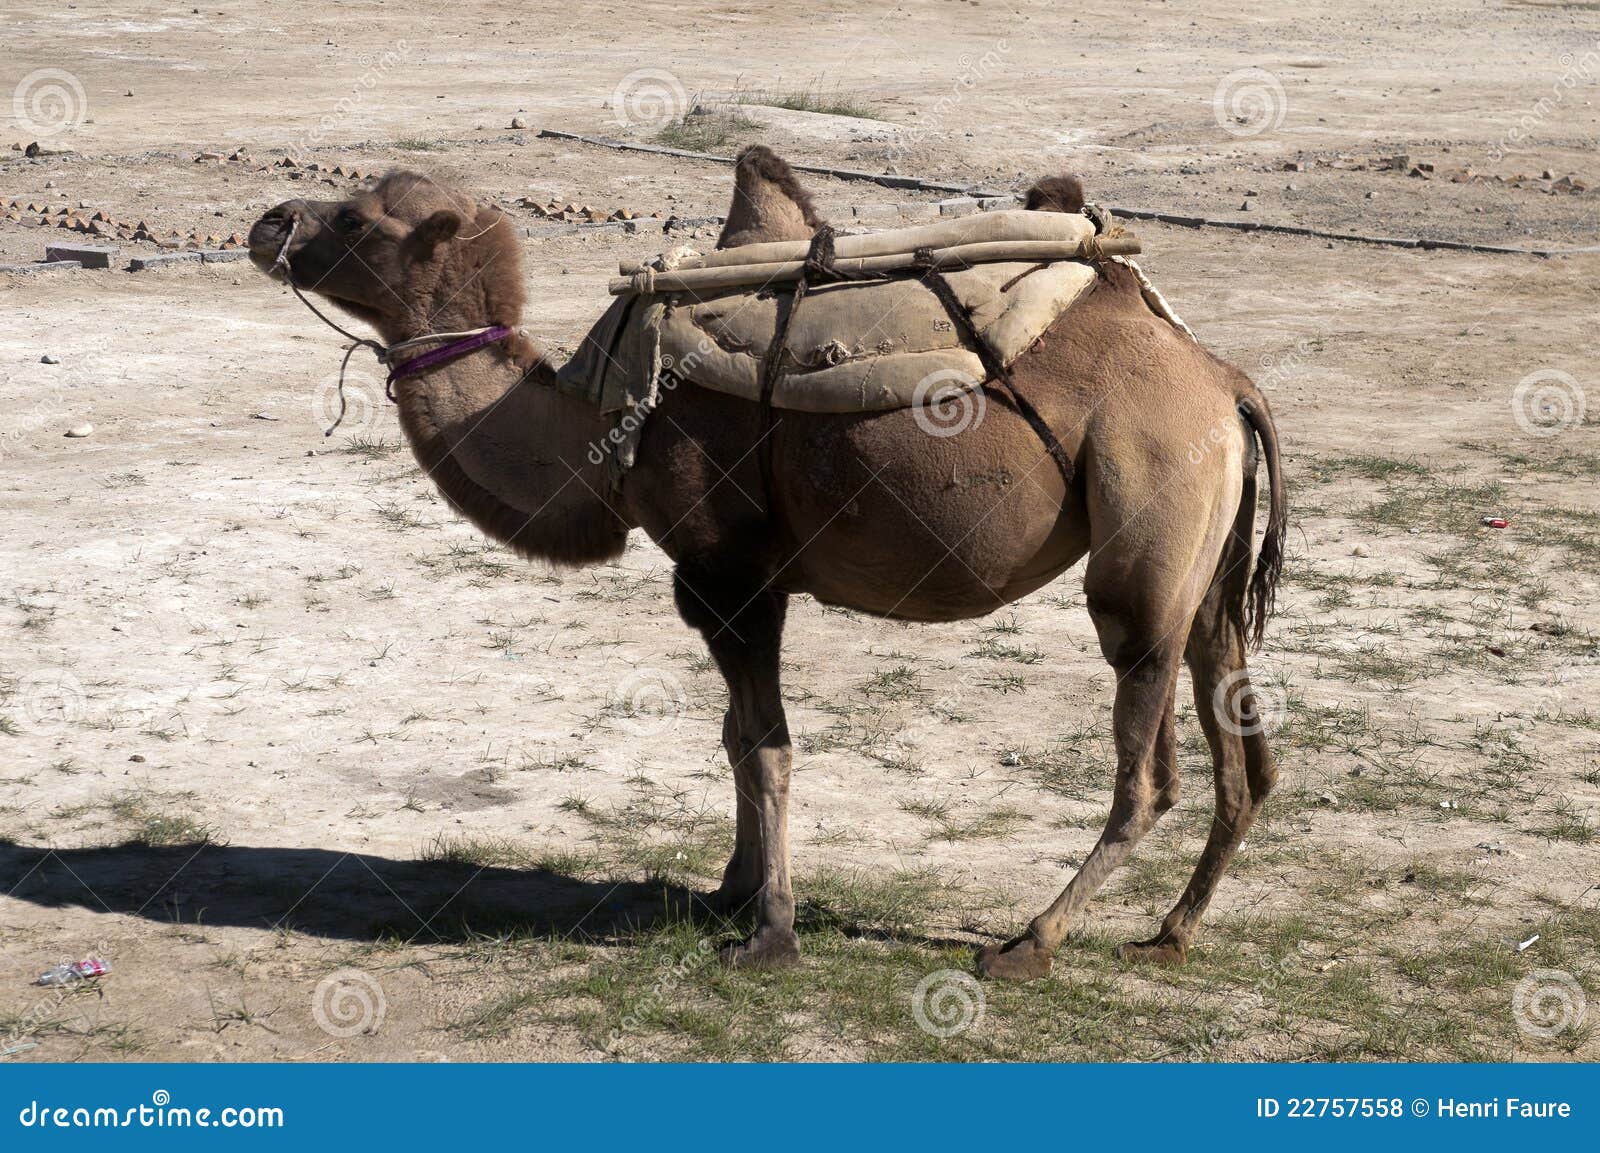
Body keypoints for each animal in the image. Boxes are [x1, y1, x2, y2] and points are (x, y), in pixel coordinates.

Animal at [247, 168, 1285, 978]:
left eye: (355, 220)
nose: (268, 223)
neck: (599, 428)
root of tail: (1227, 383)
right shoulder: (731, 584)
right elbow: (735, 738)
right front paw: (729, 890)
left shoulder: (727, 574)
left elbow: (769, 747)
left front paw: (772, 934)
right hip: (1206, 560)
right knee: (1243, 745)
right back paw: (1171, 932)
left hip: (1146, 512)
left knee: (1147, 759)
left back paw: (1031, 941)